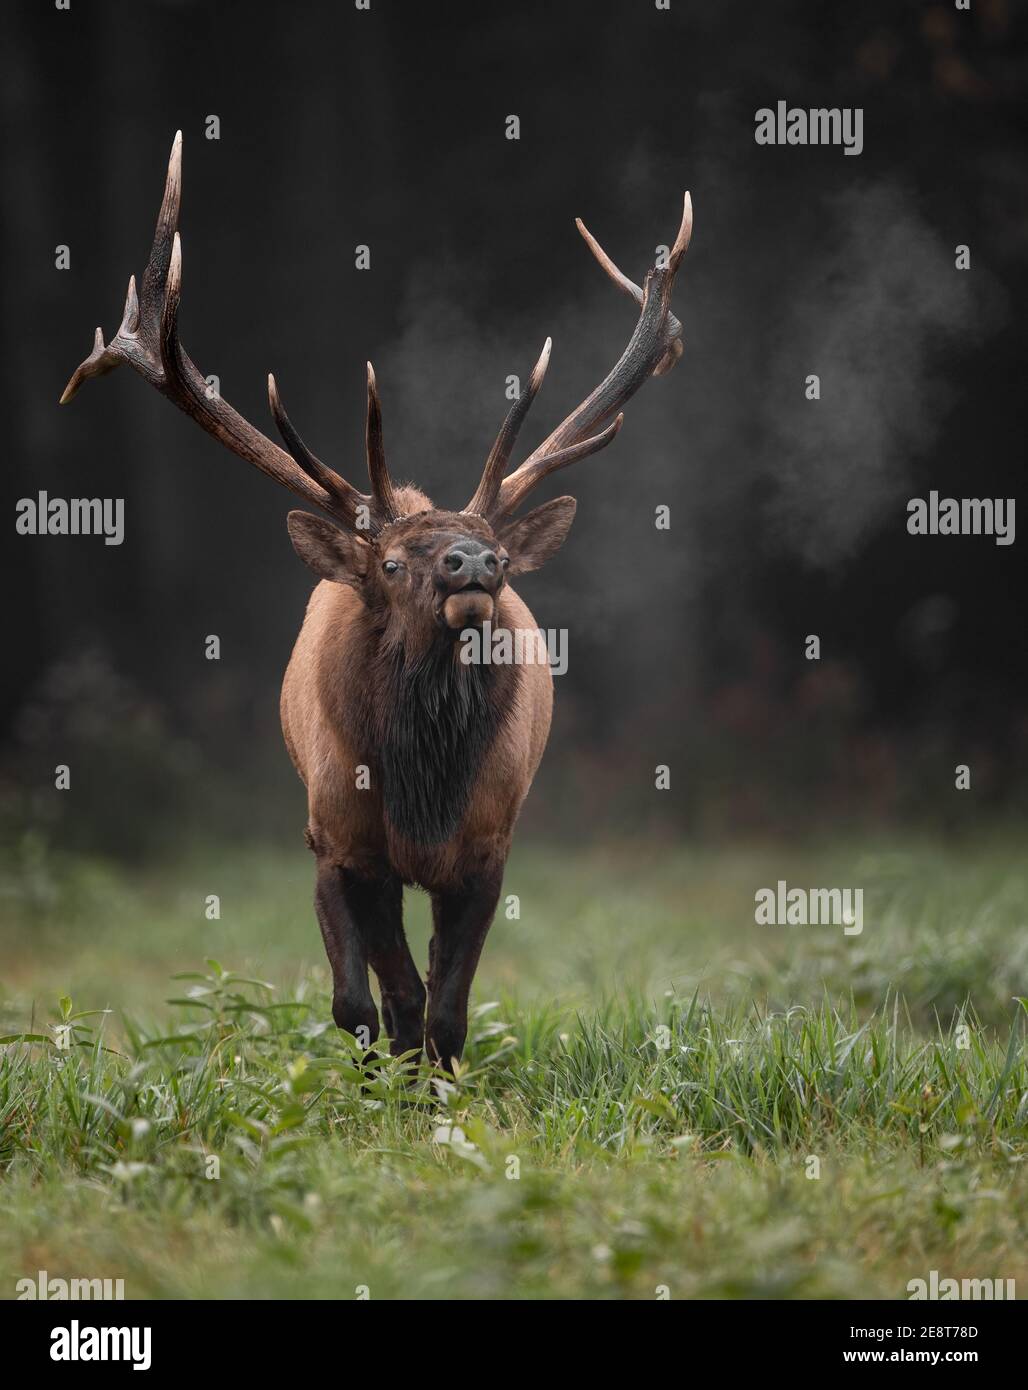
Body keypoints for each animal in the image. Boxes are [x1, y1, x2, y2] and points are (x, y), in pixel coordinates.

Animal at [61, 133, 692, 1070]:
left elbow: (446, 1007)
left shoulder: (489, 845)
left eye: (506, 556)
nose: (475, 564)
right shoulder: (336, 839)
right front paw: (385, 1077)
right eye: (391, 563)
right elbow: (367, 999)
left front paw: (438, 1083)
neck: (419, 793)